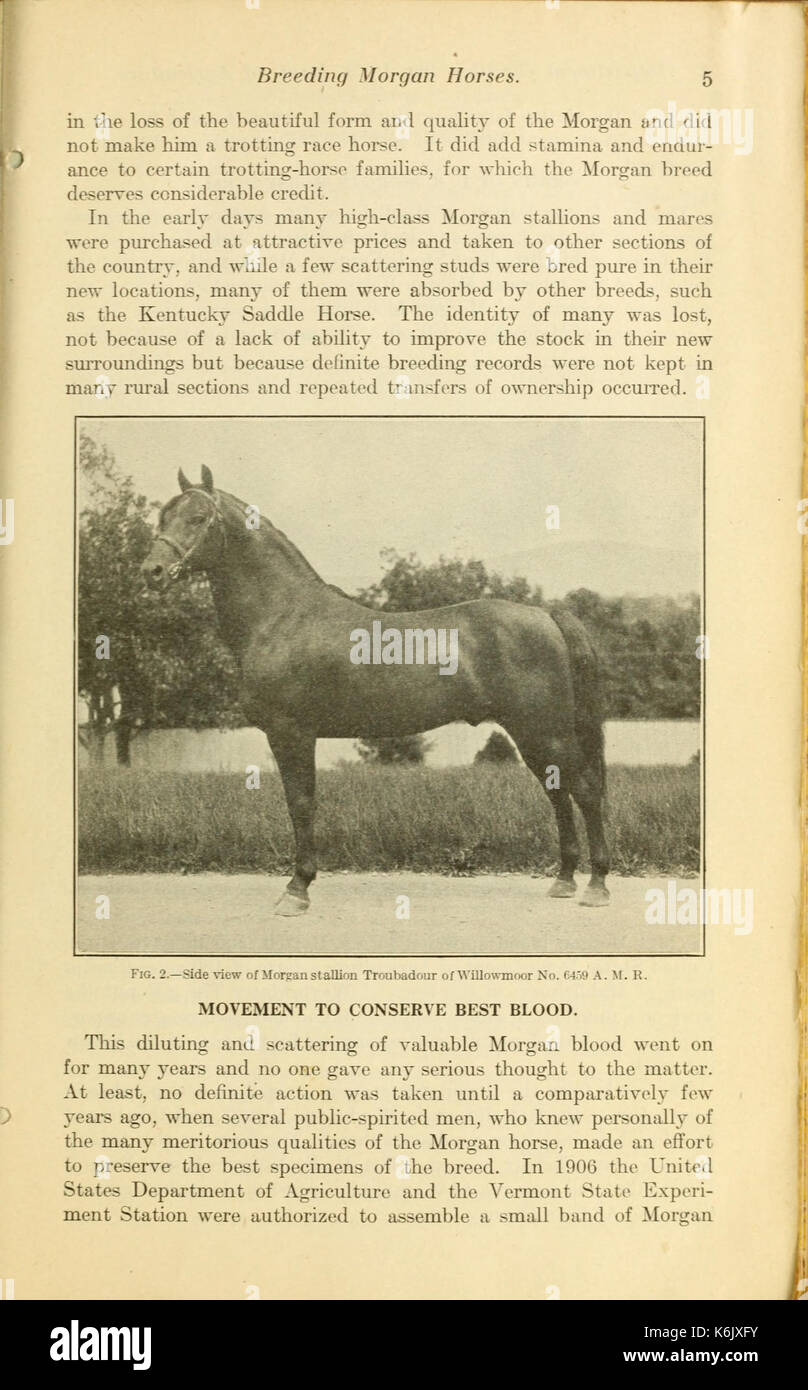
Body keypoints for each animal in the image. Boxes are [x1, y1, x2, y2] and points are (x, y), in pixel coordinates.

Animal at [141, 466, 610, 916]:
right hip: (533, 735)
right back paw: (564, 880)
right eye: (163, 517)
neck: (283, 617)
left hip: (545, 731)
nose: (152, 572)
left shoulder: (291, 733)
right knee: (558, 793)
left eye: (198, 518)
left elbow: (301, 805)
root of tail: (546, 615)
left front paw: (297, 890)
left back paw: (596, 886)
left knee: (585, 791)